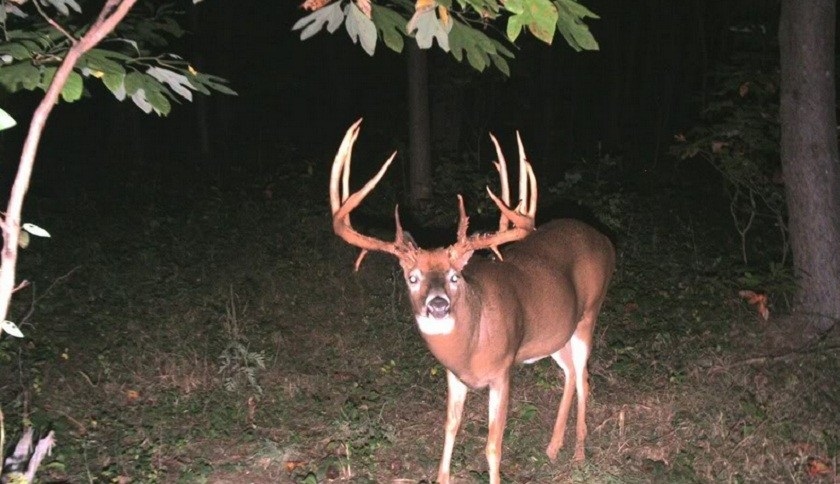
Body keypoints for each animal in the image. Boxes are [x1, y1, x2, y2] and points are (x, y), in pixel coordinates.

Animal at [329, 120, 615, 484]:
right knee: (569, 374)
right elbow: (450, 428)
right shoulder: (454, 374)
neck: (472, 346)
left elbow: (493, 446)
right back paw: (552, 448)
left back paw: (578, 454)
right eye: (412, 278)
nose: (437, 305)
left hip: (589, 315)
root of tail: (604, 239)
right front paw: (442, 476)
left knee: (583, 378)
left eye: (455, 276)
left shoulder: (503, 370)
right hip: (556, 335)